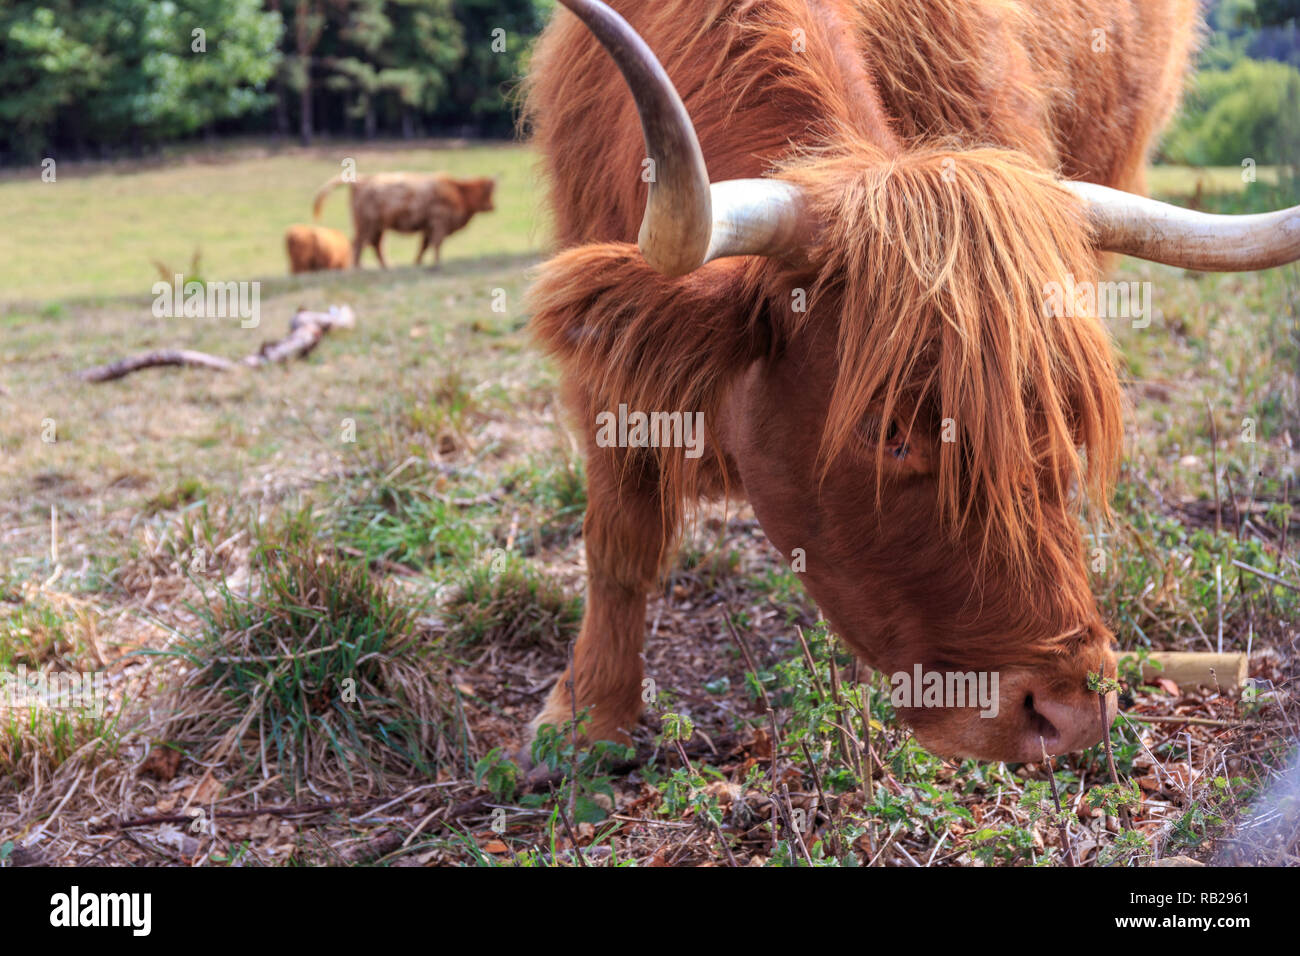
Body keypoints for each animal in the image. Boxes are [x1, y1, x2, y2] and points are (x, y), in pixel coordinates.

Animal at [313, 172, 496, 269]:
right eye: (489, 192)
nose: (494, 206)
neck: (459, 191)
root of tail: (361, 179)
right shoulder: (438, 224)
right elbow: (435, 245)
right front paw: (437, 262)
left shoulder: (428, 228)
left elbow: (424, 246)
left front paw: (418, 263)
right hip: (367, 225)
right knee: (359, 244)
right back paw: (359, 267)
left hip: (378, 227)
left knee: (375, 245)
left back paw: (386, 267)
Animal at [522, 0, 1300, 763]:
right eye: (887, 430)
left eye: (1065, 416)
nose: (1071, 711)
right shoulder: (613, 370)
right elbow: (620, 537)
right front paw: (589, 718)